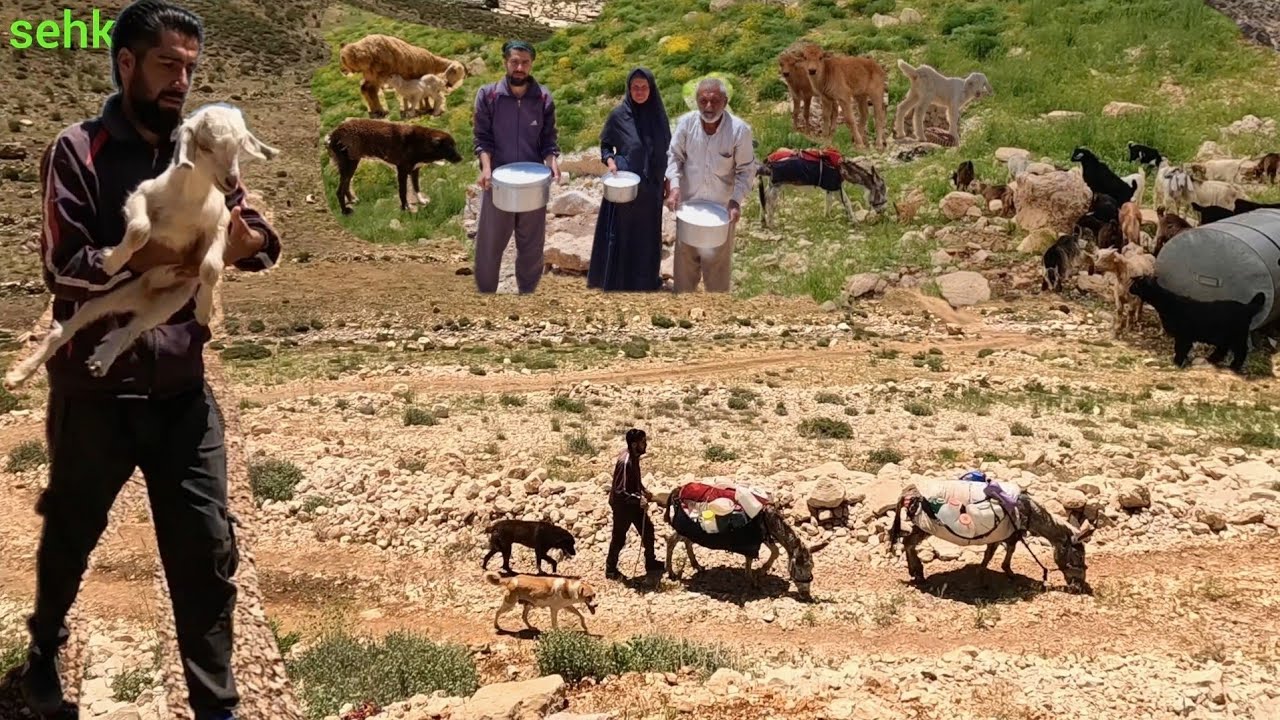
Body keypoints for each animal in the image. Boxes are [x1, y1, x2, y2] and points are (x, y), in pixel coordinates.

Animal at [5, 104, 279, 388]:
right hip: (111, 292)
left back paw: (102, 358)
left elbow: (211, 268)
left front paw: (205, 309)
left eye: (239, 145)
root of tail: (142, 296)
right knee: (71, 325)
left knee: (134, 326)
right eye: (205, 146)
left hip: (171, 300)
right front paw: (111, 260)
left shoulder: (220, 224)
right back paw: (19, 374)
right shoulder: (139, 196)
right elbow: (139, 230)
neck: (189, 201)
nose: (231, 182)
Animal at [325, 118, 463, 215]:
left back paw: (352, 200)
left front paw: (421, 201)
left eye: (455, 145)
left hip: (352, 164)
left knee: (346, 184)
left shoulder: (415, 170)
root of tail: (334, 133)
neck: (421, 142)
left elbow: (416, 188)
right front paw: (405, 208)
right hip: (349, 164)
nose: (461, 159)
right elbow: (403, 191)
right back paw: (345, 211)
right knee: (339, 190)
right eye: (449, 147)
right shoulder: (402, 170)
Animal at [1128, 276, 1265, 373]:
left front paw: (1177, 363)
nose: (1129, 289)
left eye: (1135, 284)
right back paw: (1211, 359)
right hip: (1225, 337)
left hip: (1237, 337)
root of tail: (1246, 307)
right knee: (1223, 350)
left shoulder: (1183, 337)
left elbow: (1180, 350)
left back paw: (1234, 367)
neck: (1167, 303)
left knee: (1241, 352)